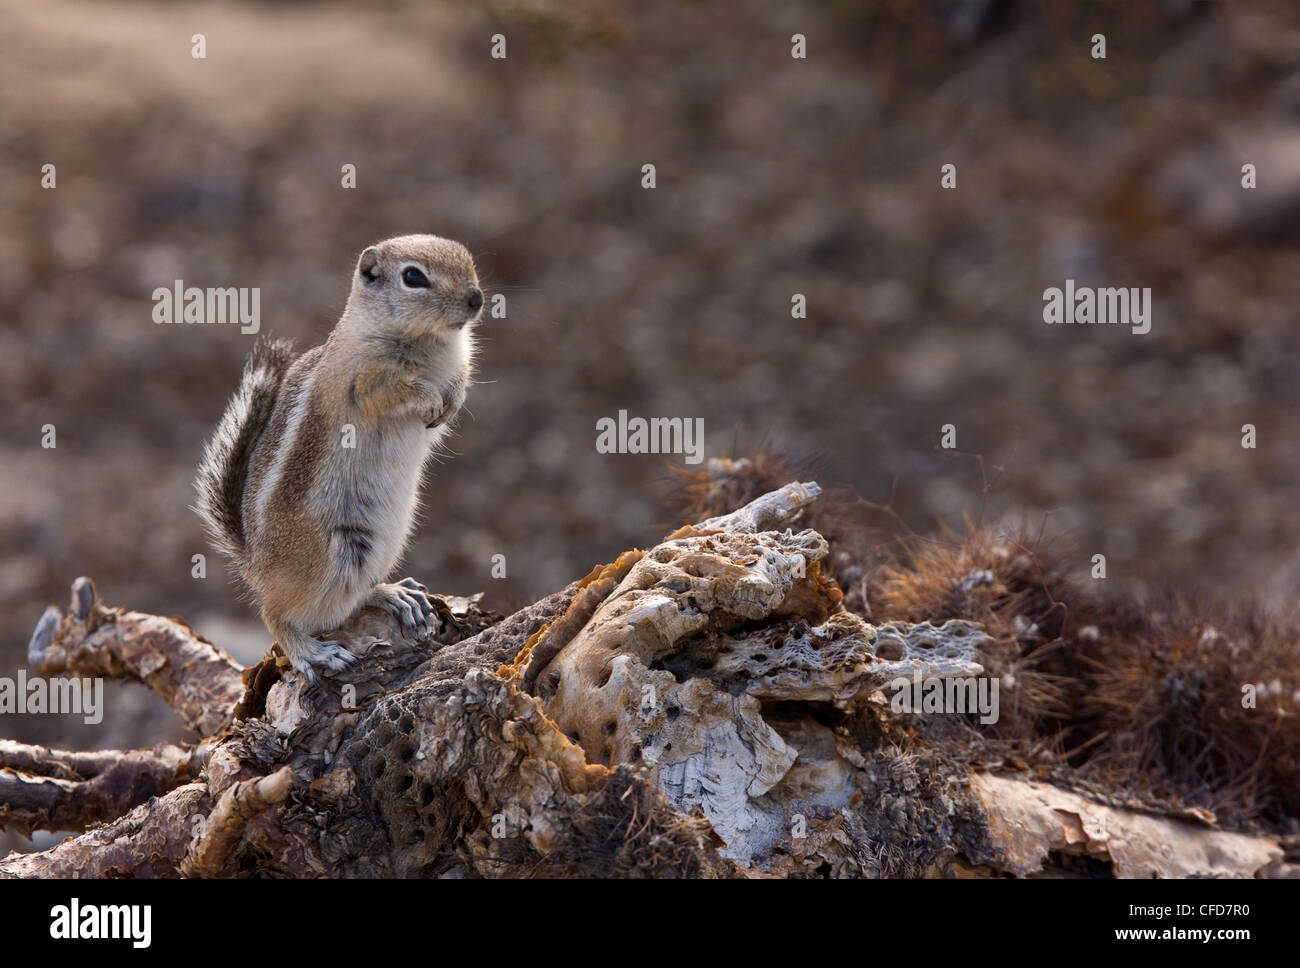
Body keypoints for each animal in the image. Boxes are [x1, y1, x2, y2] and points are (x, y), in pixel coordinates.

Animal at [194, 234, 483, 679]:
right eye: (414, 277)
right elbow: (395, 391)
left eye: (468, 260)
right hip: (330, 555)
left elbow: (461, 380)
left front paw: (451, 403)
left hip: (381, 545)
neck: (432, 340)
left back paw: (393, 594)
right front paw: (431, 399)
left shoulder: (459, 362)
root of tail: (254, 565)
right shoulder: (363, 381)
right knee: (275, 613)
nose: (477, 298)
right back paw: (312, 651)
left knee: (351, 599)